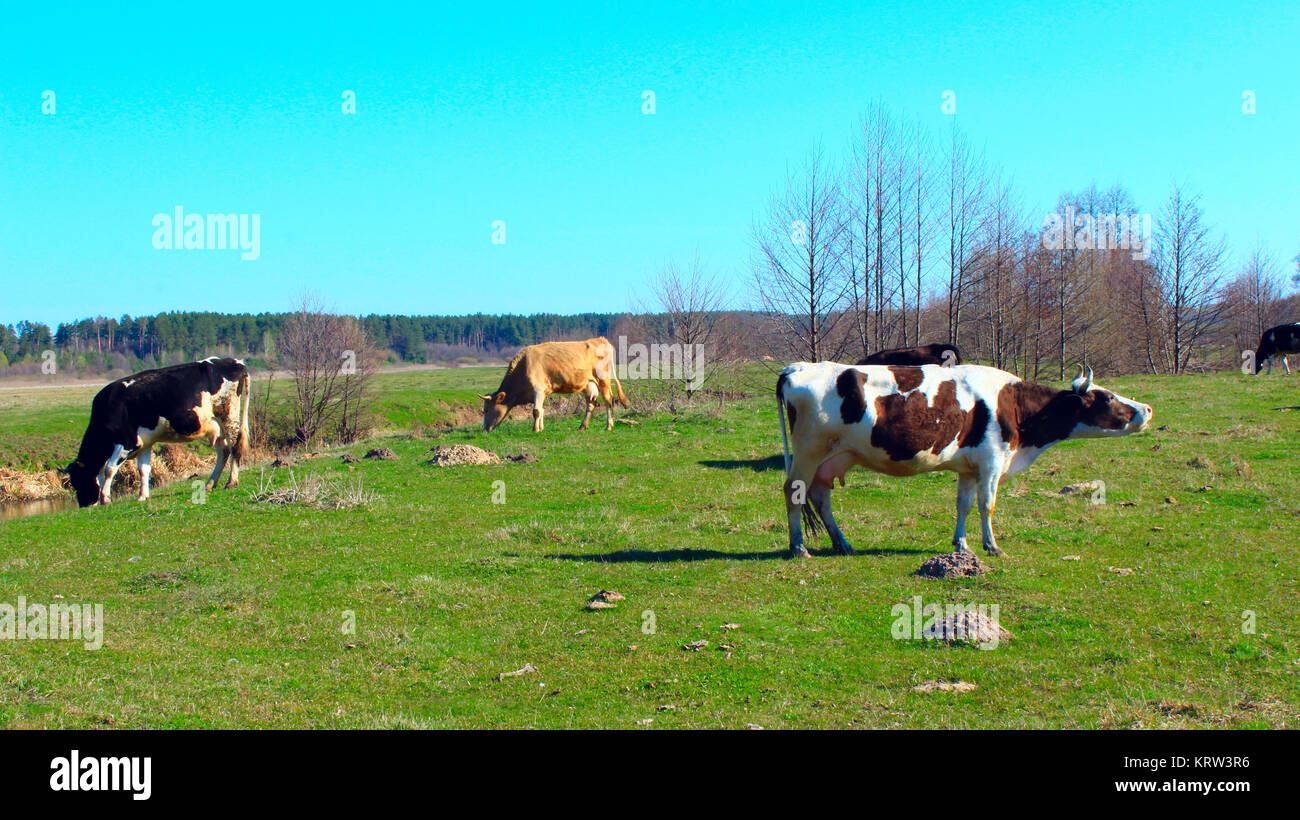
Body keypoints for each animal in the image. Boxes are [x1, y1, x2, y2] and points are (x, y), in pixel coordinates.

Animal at [61, 357, 251, 507]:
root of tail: (236, 362)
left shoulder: (128, 442)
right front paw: (142, 496)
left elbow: (109, 468)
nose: (83, 505)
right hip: (216, 426)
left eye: (79, 481)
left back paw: (231, 482)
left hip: (229, 416)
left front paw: (105, 499)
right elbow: (144, 469)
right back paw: (210, 484)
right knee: (223, 451)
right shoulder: (144, 443)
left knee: (234, 447)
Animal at [481, 337, 628, 432]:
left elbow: (536, 411)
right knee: (591, 404)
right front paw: (541, 428)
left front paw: (535, 429)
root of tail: (600, 339)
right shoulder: (543, 392)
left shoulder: (538, 389)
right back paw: (582, 426)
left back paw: (608, 426)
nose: (484, 430)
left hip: (603, 379)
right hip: (588, 384)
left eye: (486, 410)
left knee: (608, 400)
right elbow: (542, 410)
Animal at [776, 362, 1152, 559]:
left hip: (832, 458)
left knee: (820, 497)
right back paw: (798, 547)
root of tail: (797, 367)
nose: (1147, 409)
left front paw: (961, 544)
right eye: (1107, 397)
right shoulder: (992, 461)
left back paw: (842, 543)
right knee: (793, 492)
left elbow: (964, 505)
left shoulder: (970, 468)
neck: (1011, 404)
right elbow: (987, 505)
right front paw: (992, 546)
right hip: (808, 452)